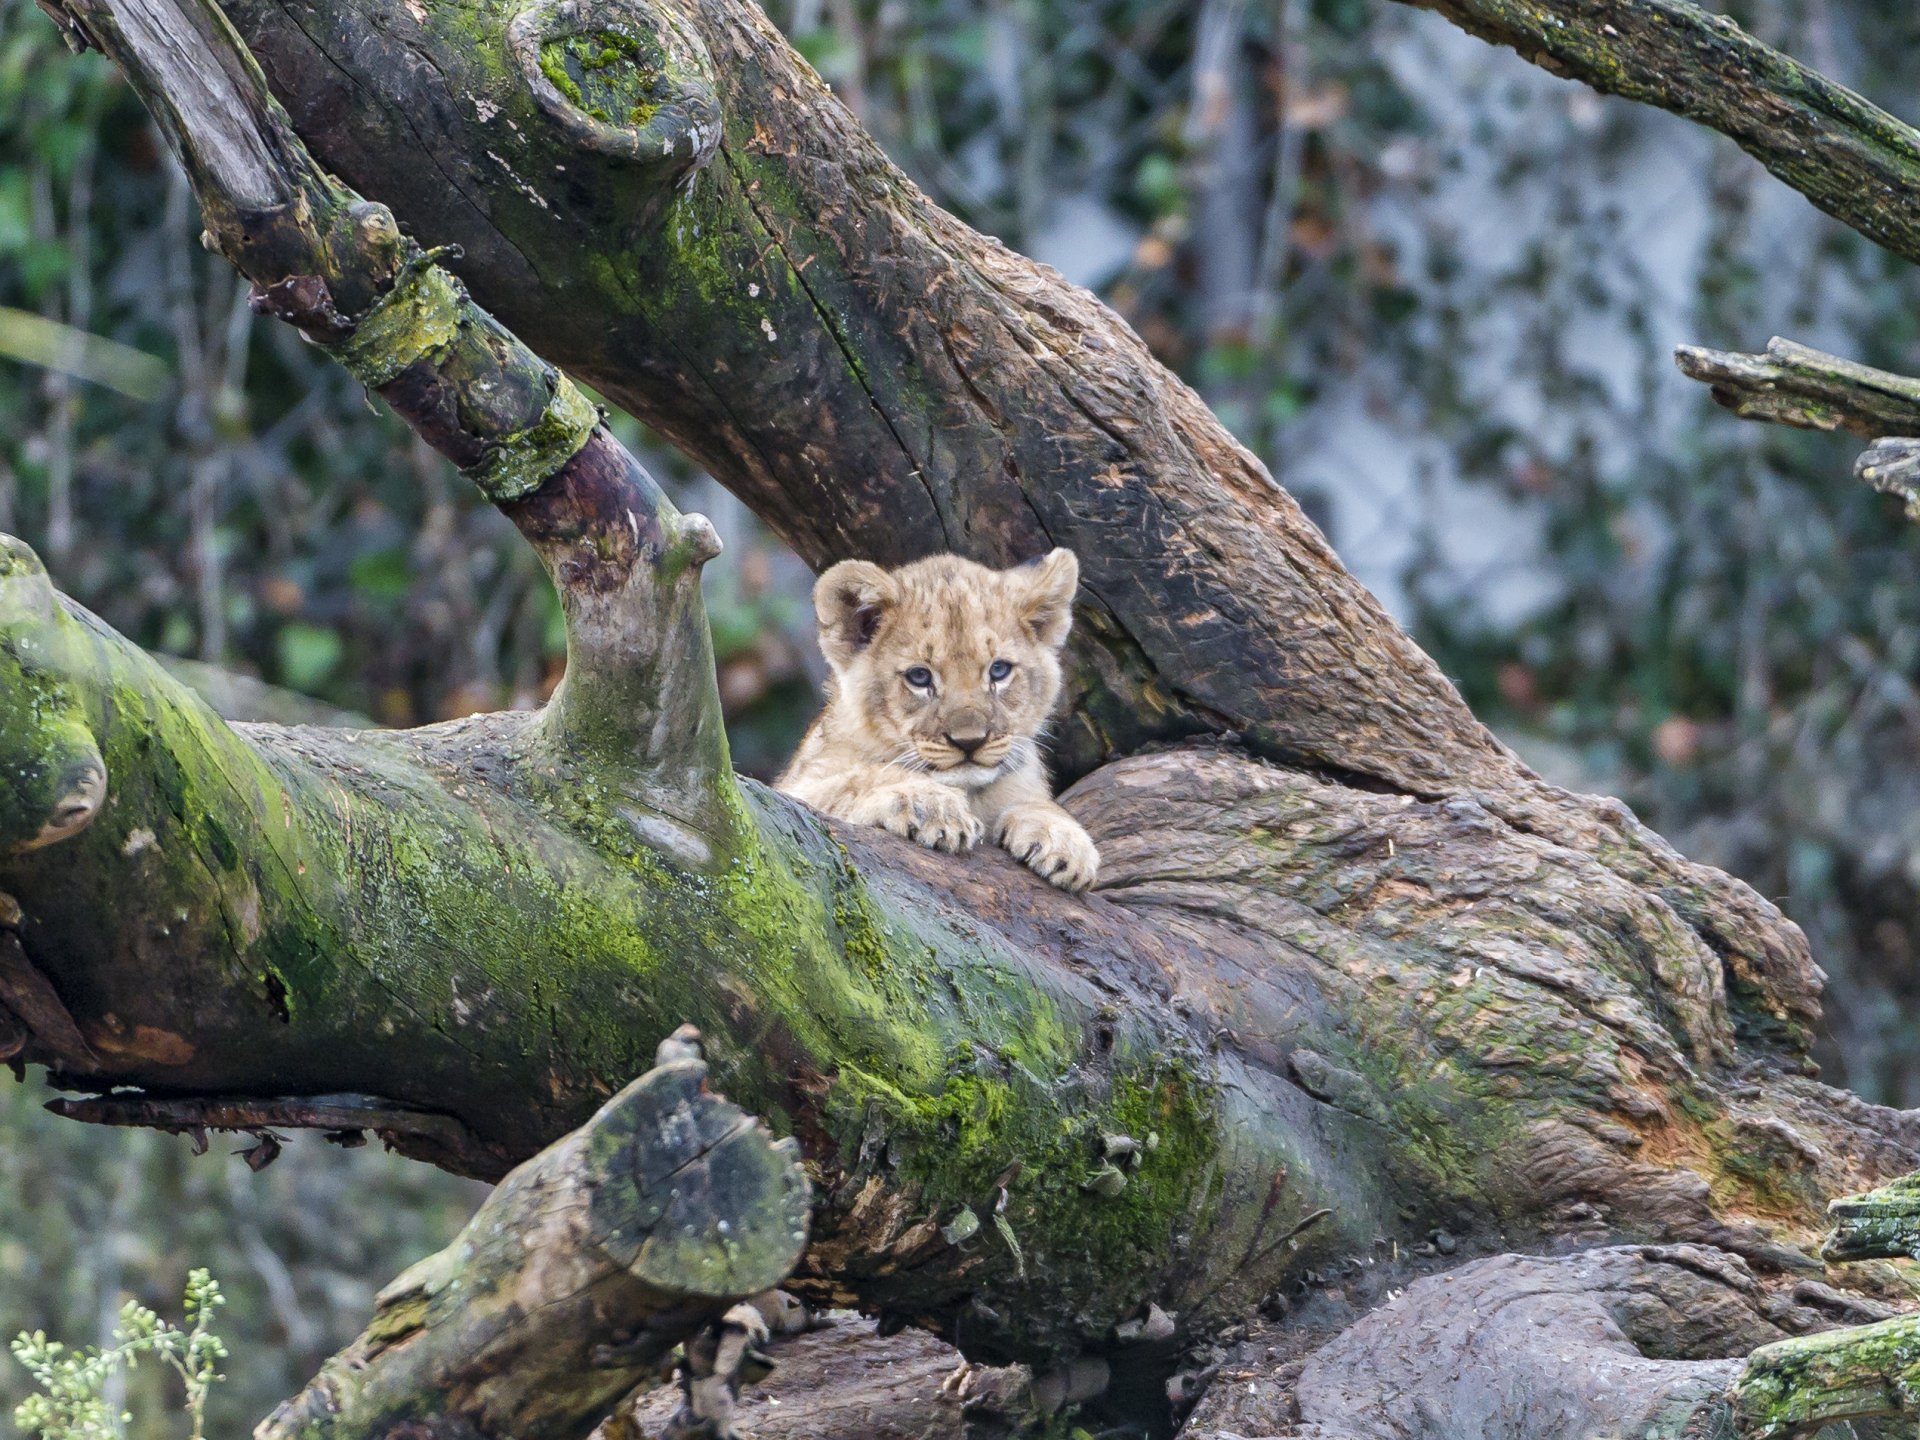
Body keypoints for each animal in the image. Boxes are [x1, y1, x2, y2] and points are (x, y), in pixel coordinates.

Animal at [775, 548, 1099, 892]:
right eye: (919, 676)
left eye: (999, 670)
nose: (970, 742)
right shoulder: (795, 791)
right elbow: (859, 778)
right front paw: (931, 805)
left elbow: (1035, 801)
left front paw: (1065, 841)